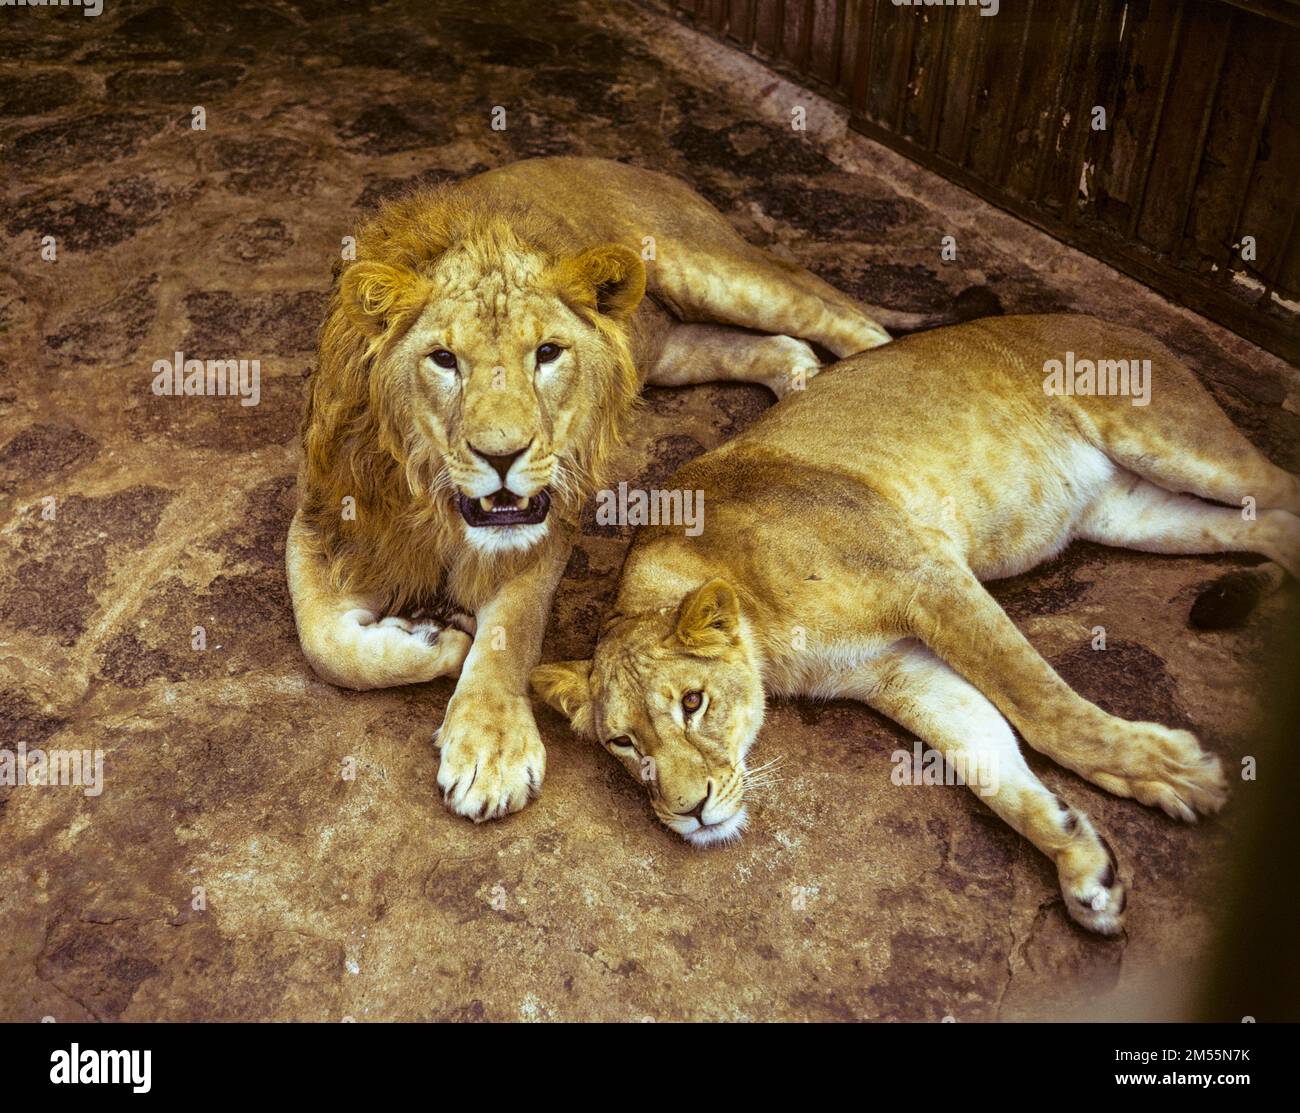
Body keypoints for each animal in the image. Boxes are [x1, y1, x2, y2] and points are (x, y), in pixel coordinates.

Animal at [287, 156, 895, 823]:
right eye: (444, 359)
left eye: (548, 353)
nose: (502, 455)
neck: (439, 507)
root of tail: (619, 162)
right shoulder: (326, 517)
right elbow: (327, 646)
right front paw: (432, 638)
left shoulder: (546, 523)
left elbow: (509, 633)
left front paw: (490, 747)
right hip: (667, 347)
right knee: (774, 346)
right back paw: (800, 387)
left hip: (718, 276)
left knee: (842, 321)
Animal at [531, 314, 1300, 933]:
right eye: (625, 743)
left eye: (693, 703)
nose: (689, 812)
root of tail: (1119, 319)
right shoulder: (899, 671)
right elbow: (988, 761)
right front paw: (1084, 864)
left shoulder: (928, 576)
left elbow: (1041, 706)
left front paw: (1169, 771)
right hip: (1135, 515)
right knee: (1272, 526)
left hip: (1169, 441)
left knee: (1282, 489)